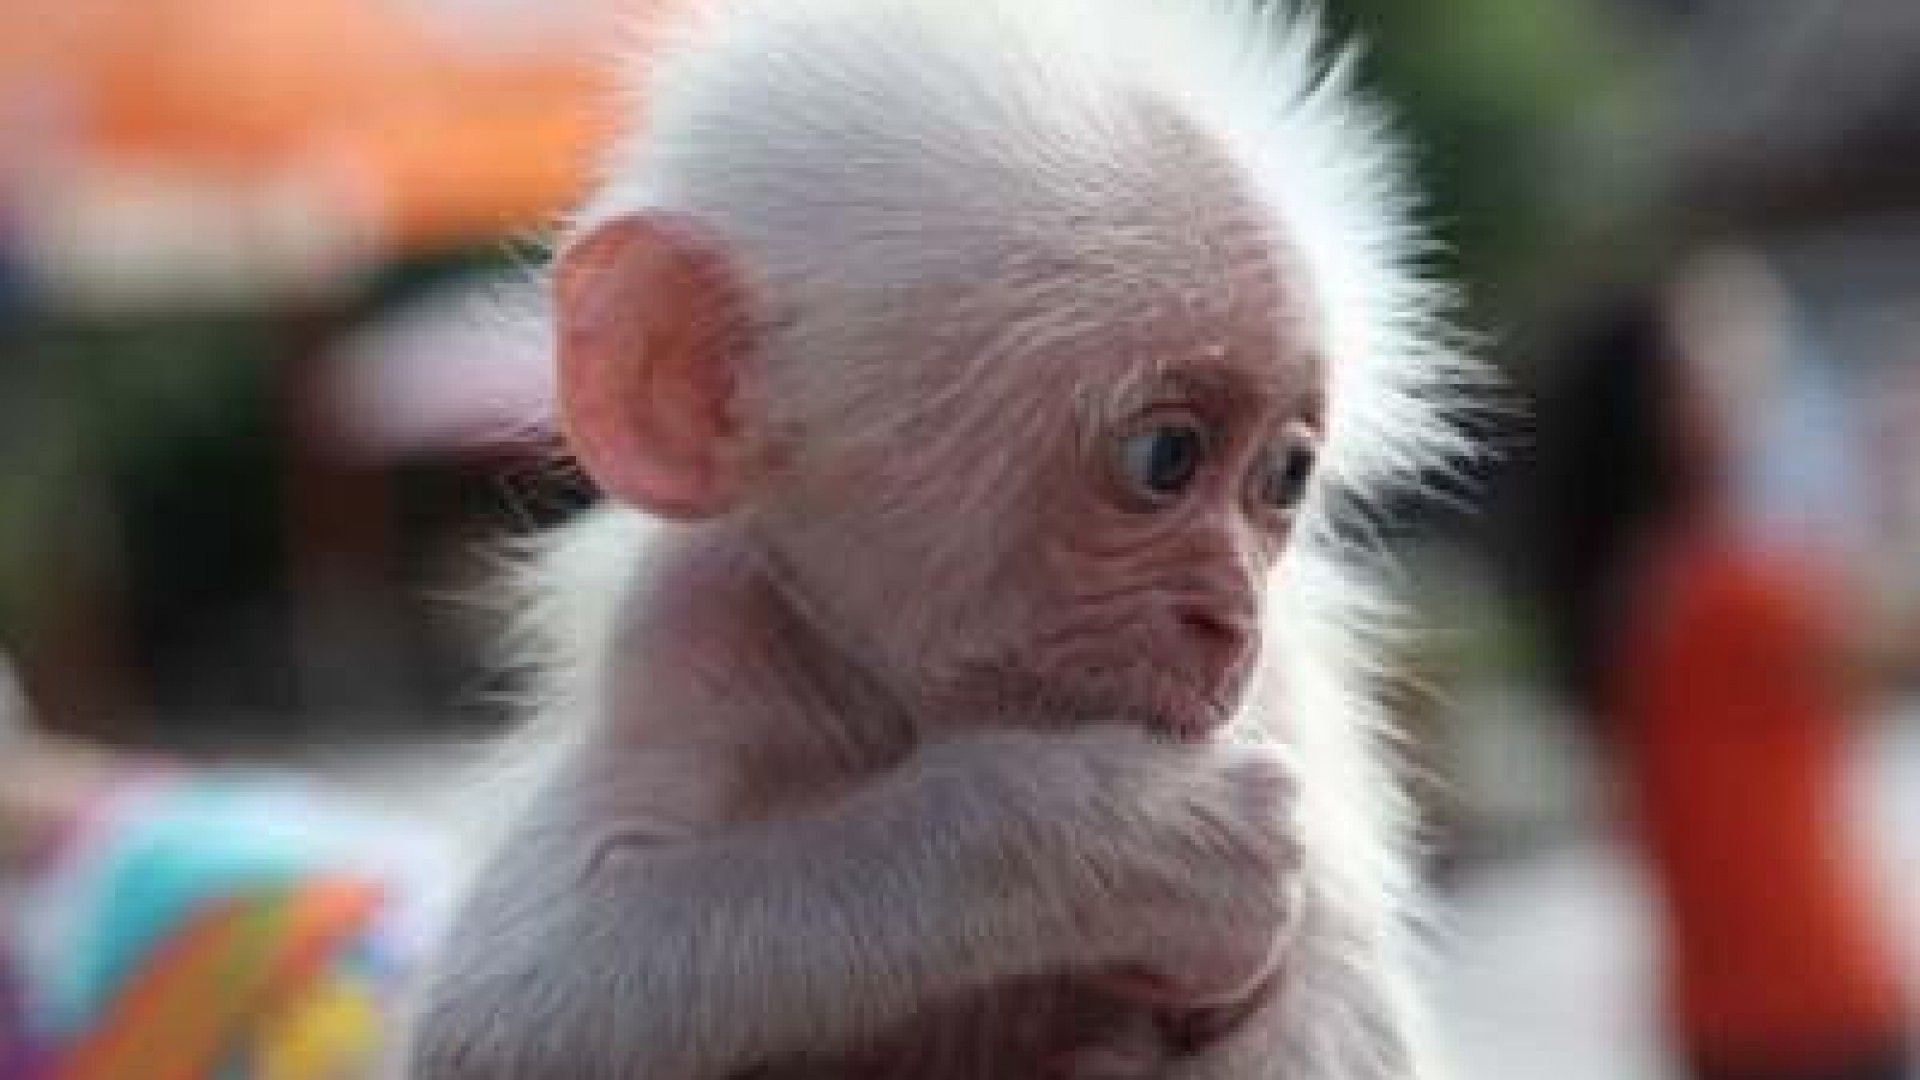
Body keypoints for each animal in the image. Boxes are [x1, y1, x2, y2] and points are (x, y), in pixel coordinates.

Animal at [410, 0, 1472, 1076]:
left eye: (1284, 477)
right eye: (1166, 457)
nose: (1229, 623)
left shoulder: (1278, 690)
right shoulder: (692, 622)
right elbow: (513, 1003)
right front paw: (1123, 835)